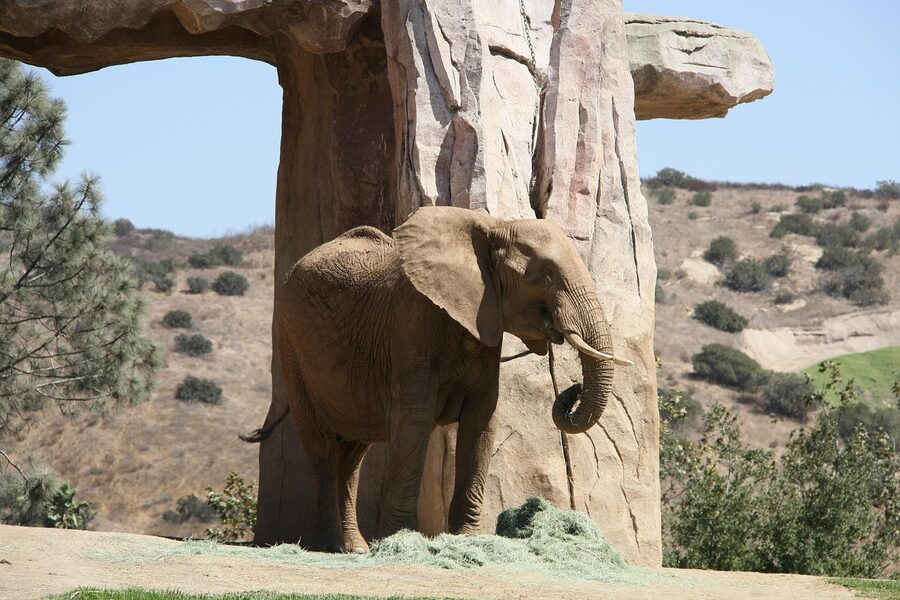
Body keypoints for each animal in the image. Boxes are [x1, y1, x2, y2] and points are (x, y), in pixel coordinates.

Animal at [266, 206, 629, 553]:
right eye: (545, 276)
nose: (573, 388)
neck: (494, 226)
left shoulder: (486, 329)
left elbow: (482, 422)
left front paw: (466, 539)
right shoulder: (413, 325)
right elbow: (412, 421)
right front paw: (398, 540)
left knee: (353, 452)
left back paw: (354, 548)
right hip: (290, 342)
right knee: (321, 445)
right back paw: (329, 545)